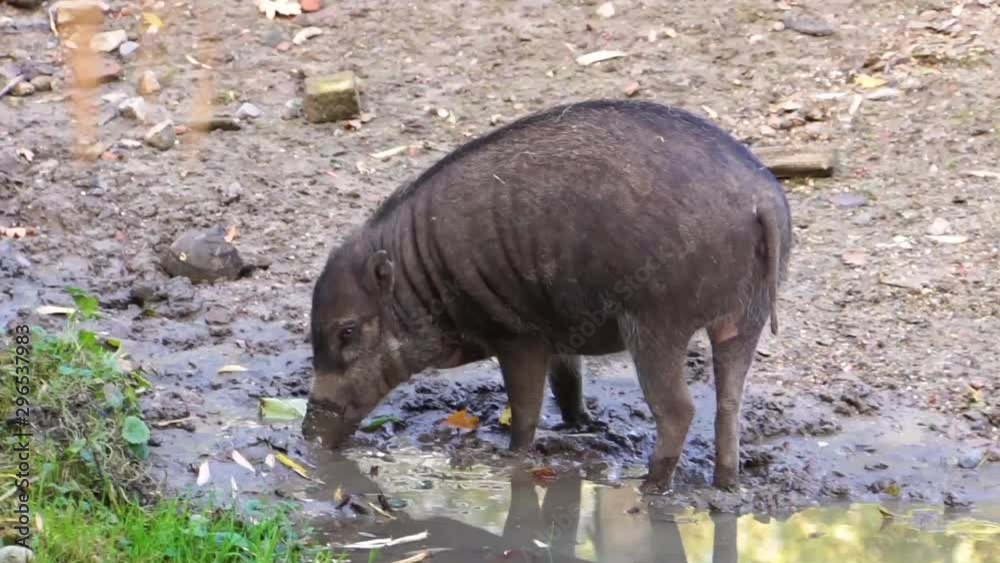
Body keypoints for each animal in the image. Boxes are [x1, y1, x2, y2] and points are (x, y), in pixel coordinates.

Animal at [303, 99, 791, 492]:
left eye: (347, 331)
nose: (308, 434)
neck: (425, 278)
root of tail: (759, 202)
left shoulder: (517, 335)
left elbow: (525, 406)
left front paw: (510, 457)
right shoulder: (558, 328)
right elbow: (567, 383)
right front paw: (584, 426)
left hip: (657, 322)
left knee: (678, 410)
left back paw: (651, 486)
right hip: (744, 318)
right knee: (729, 403)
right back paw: (725, 486)